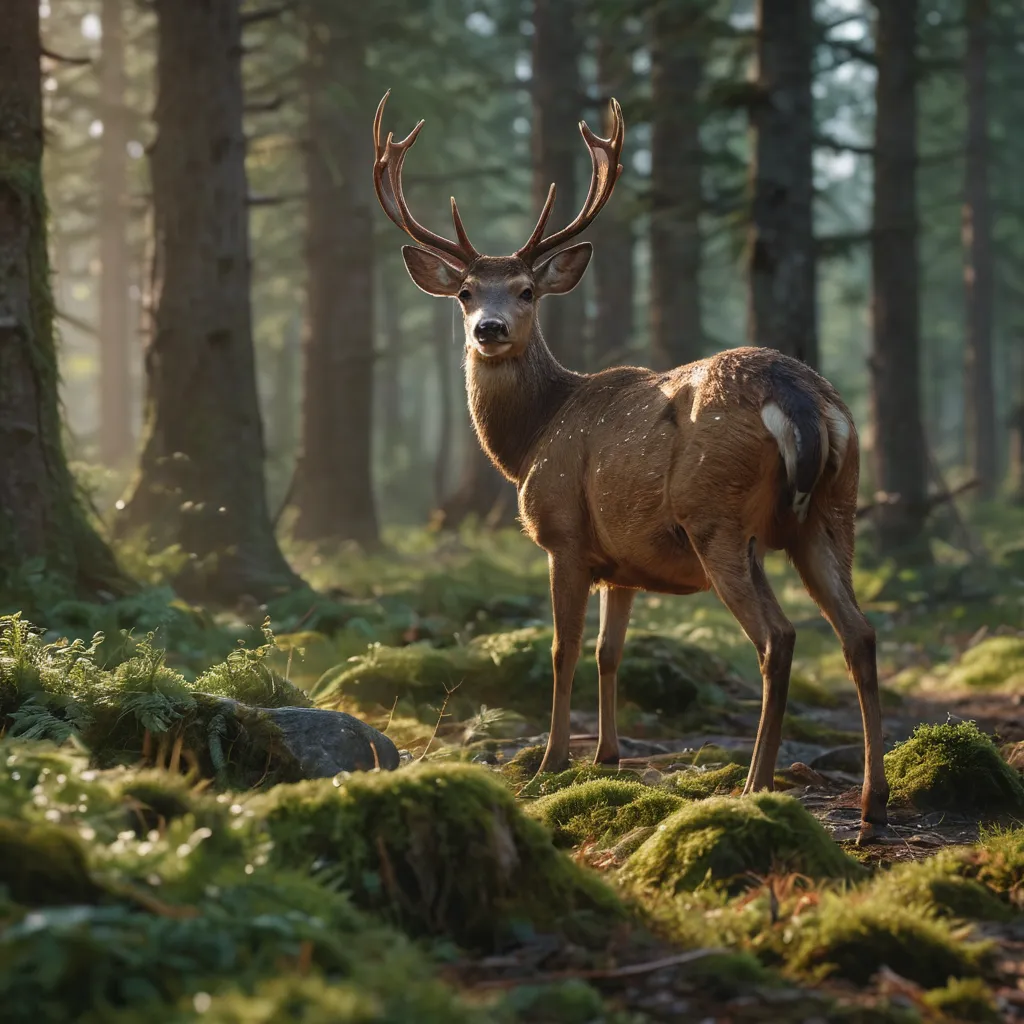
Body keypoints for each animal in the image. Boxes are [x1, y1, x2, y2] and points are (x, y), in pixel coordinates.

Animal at [371, 91, 890, 841]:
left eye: (526, 291)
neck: (530, 439)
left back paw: (756, 785)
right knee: (860, 633)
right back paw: (872, 805)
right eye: (466, 292)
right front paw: (608, 756)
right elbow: (608, 652)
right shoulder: (621, 561)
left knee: (779, 636)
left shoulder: (562, 533)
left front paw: (552, 762)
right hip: (833, 512)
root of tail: (799, 396)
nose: (488, 330)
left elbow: (560, 650)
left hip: (717, 517)